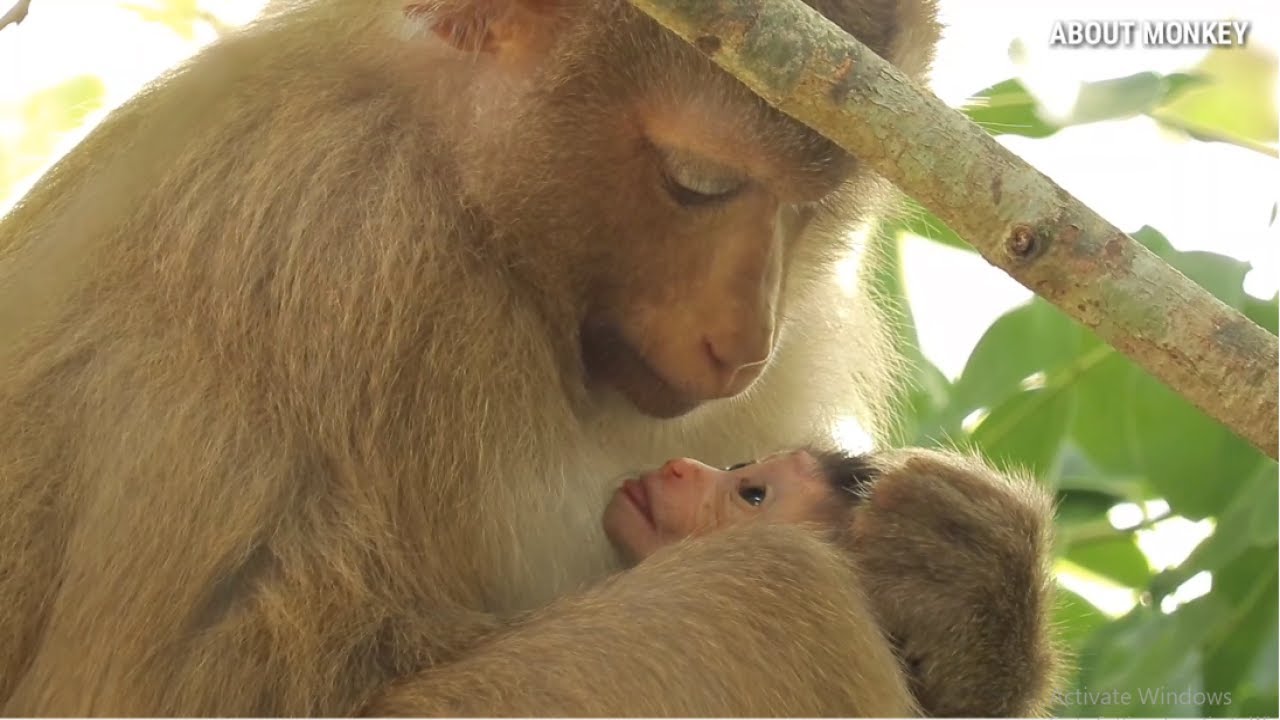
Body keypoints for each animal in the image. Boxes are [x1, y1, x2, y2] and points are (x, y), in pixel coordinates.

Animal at [0, 0, 984, 715]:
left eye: (814, 206)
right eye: (697, 182)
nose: (742, 346)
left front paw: (965, 579)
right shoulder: (345, 252)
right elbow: (166, 696)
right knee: (772, 595)